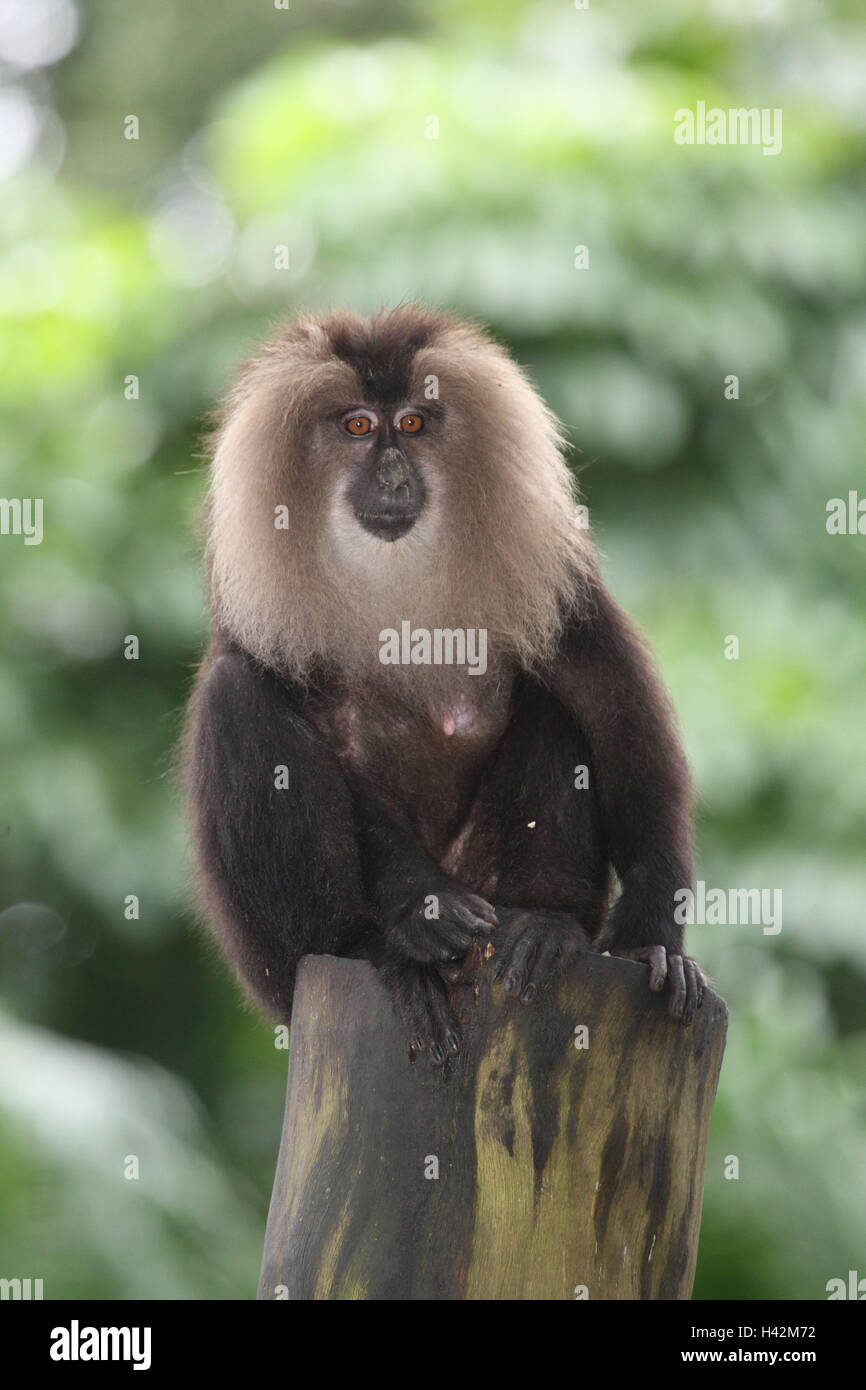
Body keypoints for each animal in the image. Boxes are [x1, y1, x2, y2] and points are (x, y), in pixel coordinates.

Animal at [185, 303, 706, 1067]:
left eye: (413, 423)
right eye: (358, 426)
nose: (394, 476)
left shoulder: (553, 575)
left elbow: (613, 704)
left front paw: (651, 936)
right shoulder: (263, 608)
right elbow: (322, 745)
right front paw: (418, 914)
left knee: (555, 713)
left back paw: (546, 927)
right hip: (277, 968)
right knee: (235, 699)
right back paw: (383, 952)